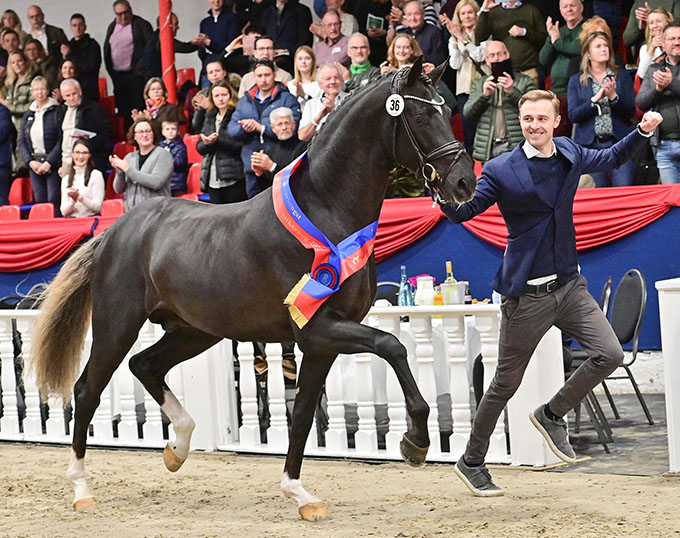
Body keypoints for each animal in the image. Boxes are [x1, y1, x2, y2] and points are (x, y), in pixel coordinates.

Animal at [31, 57, 477, 521]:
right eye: (421, 117)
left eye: (447, 111)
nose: (464, 183)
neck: (326, 211)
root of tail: (113, 231)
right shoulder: (318, 328)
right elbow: (393, 346)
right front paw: (416, 443)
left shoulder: (321, 343)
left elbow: (303, 415)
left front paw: (300, 494)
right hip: (117, 326)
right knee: (87, 391)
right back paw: (82, 489)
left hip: (194, 331)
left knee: (146, 365)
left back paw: (178, 447)